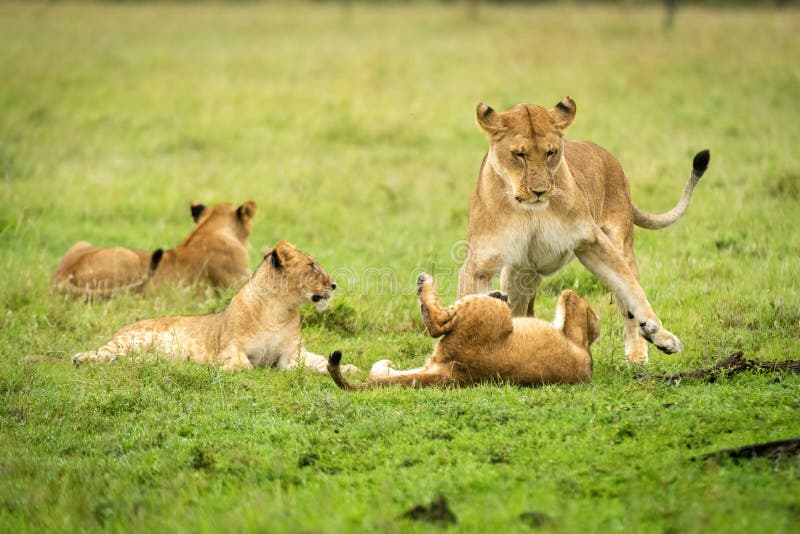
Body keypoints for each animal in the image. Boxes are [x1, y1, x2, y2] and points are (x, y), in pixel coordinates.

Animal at [72, 240, 358, 374]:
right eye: (312, 266)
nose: (334, 285)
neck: (278, 310)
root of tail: (122, 328)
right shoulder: (231, 348)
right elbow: (244, 365)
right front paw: (216, 367)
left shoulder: (290, 357)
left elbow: (319, 362)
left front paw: (349, 369)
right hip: (130, 340)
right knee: (101, 352)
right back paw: (82, 358)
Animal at [327, 273, 599, 389]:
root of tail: (458, 374)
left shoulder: (576, 312)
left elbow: (571, 296)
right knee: (378, 376)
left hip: (488, 312)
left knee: (436, 323)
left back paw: (424, 282)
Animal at [457, 97, 710, 363]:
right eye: (519, 154)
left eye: (551, 153)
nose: (540, 191)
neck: (531, 211)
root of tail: (606, 154)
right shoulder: (479, 264)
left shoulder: (591, 241)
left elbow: (632, 289)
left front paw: (662, 335)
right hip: (519, 274)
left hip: (620, 242)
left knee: (626, 303)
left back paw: (637, 355)